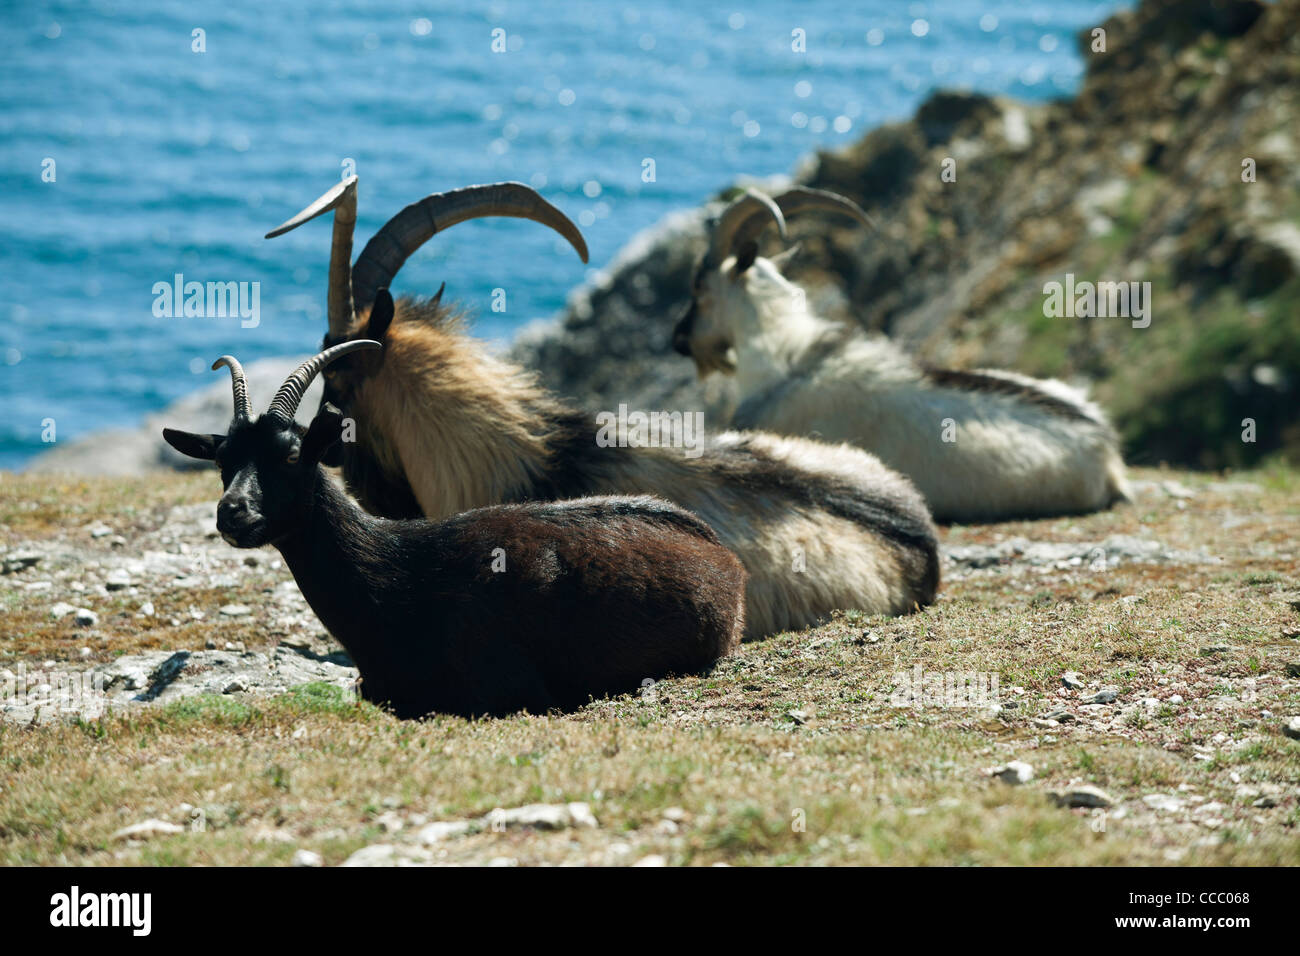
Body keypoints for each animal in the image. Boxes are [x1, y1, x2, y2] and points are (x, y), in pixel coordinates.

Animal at [161, 344, 747, 719]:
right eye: (222, 461)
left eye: (289, 456)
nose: (231, 512)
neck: (396, 576)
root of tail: (725, 557)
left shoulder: (505, 685)